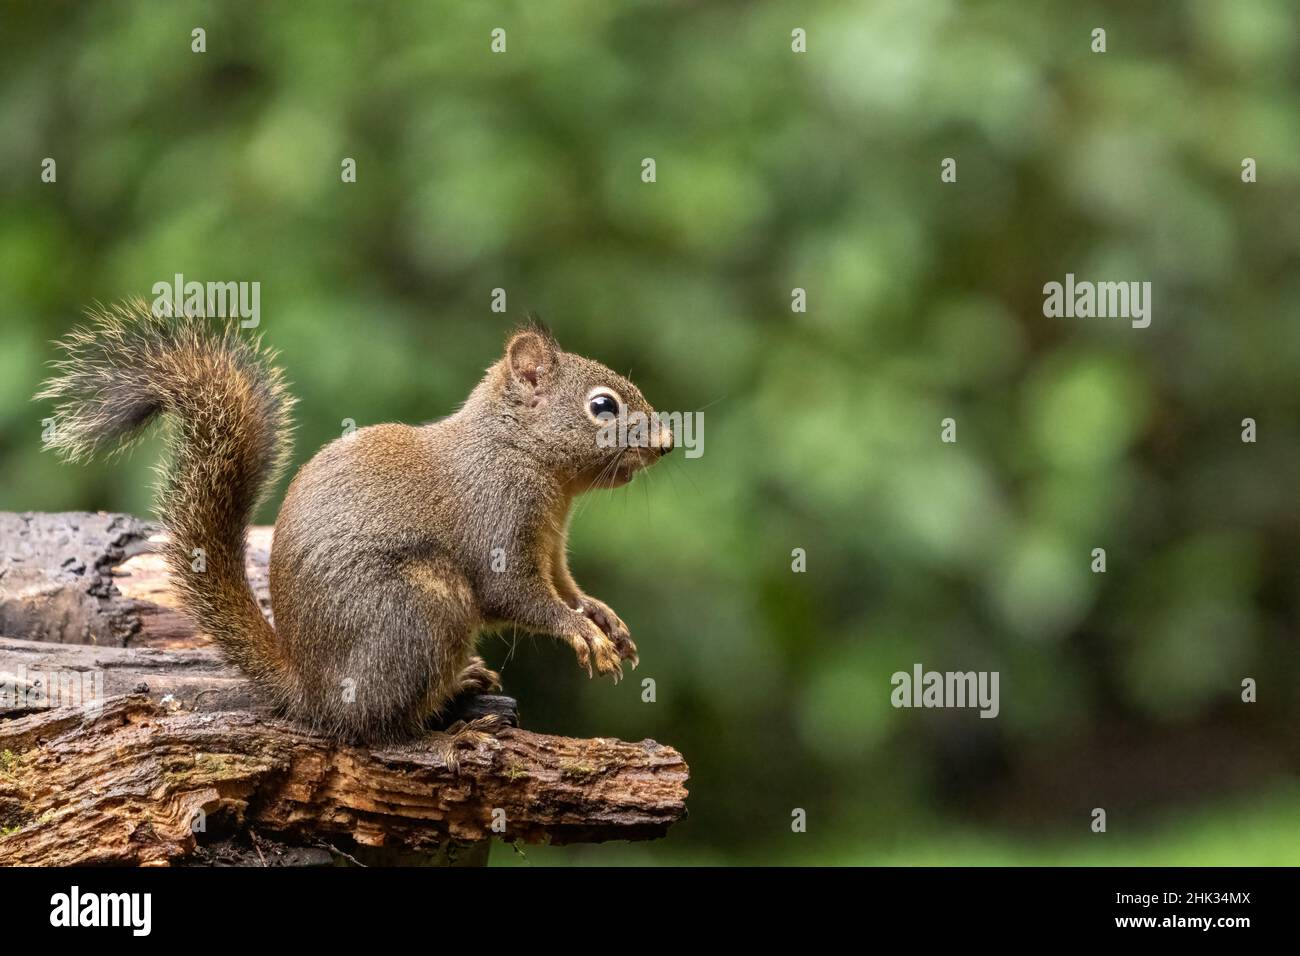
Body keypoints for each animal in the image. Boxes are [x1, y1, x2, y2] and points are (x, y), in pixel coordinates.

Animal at [36, 300, 672, 743]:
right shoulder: (497, 522)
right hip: (423, 606)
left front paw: (602, 618)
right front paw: (580, 631)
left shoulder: (553, 546)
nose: (667, 441)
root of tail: (309, 690)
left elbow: (566, 587)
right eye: (602, 406)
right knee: (382, 725)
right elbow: (517, 594)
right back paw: (450, 709)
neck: (521, 455)